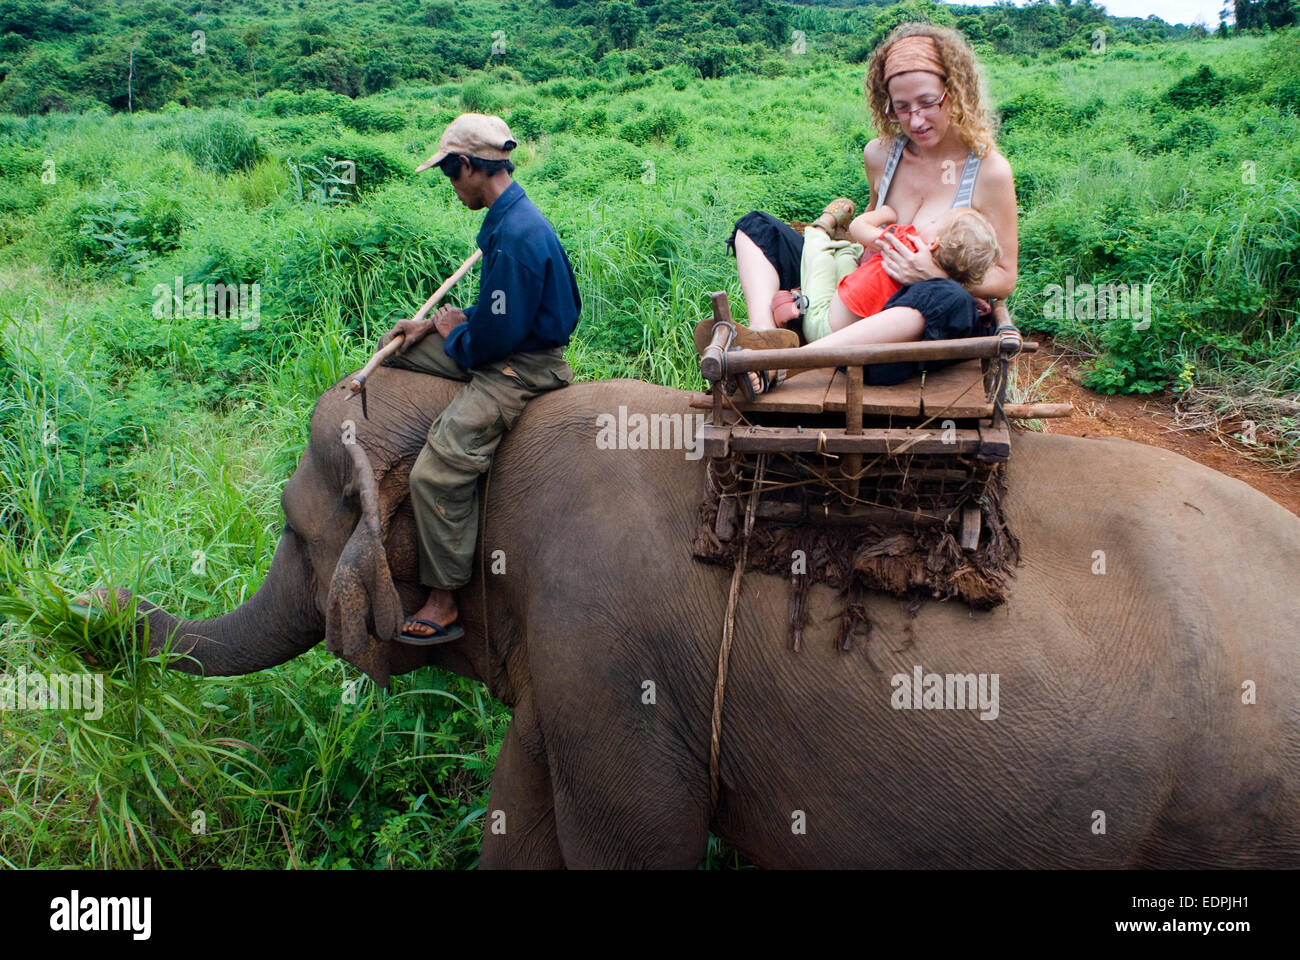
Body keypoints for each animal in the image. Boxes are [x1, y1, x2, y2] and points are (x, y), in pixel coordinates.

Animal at [103, 366, 1300, 868]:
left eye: (291, 531)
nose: (102, 601)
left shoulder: (617, 671)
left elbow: (634, 849)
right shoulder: (574, 681)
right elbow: (518, 816)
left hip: (1232, 815)